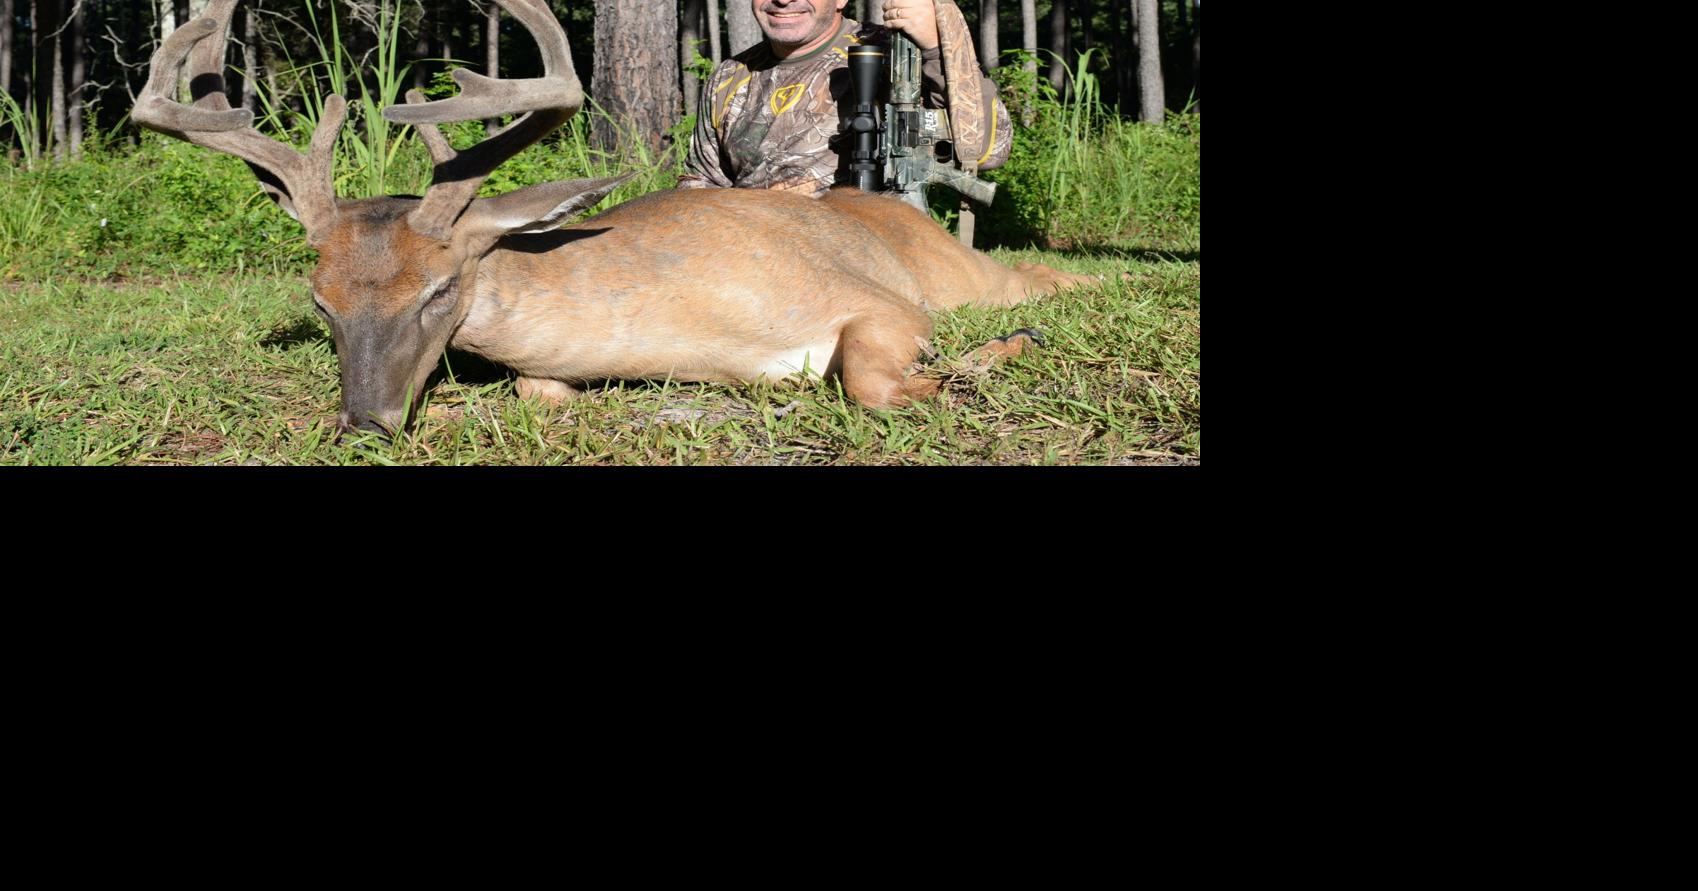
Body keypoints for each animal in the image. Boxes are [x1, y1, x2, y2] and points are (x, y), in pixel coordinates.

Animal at [133, 0, 1099, 438]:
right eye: (320, 301)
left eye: (438, 289)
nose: (363, 422)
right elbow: (534, 391)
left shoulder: (876, 304)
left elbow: (866, 374)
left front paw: (980, 367)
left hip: (961, 273)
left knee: (1043, 276)